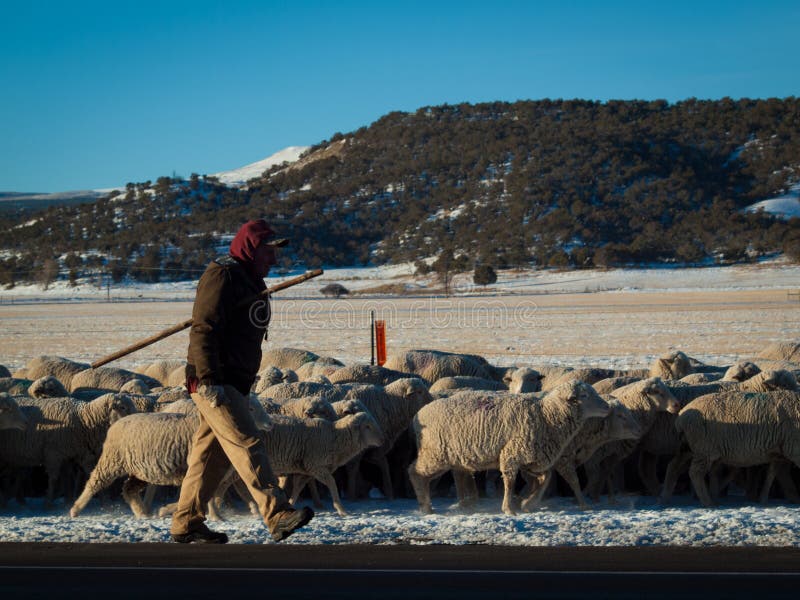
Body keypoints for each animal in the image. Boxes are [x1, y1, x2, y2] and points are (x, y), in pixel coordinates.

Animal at [0, 393, 137, 504]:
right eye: (123, 407)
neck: (84, 419)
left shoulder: (79, 454)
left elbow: (82, 476)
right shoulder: (53, 454)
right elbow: (54, 479)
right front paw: (48, 503)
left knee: (16, 476)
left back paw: (17, 500)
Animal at [69, 395, 273, 518]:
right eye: (251, 409)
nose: (269, 424)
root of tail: (117, 422)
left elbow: (207, 495)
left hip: (141, 470)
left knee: (128, 489)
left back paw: (142, 513)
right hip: (112, 461)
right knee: (94, 482)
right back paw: (75, 509)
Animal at [408, 381, 610, 515]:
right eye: (584, 396)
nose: (608, 407)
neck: (547, 416)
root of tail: (418, 415)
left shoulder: (533, 458)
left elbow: (545, 478)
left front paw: (528, 503)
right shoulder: (511, 454)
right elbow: (510, 482)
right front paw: (509, 509)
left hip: (450, 456)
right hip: (434, 454)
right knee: (414, 472)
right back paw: (425, 506)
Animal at [671, 389, 800, 507]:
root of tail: (681, 416)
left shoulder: (779, 453)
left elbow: (771, 474)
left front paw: (763, 499)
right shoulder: (793, 448)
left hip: (697, 450)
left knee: (701, 471)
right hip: (704, 449)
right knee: (695, 473)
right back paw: (708, 502)